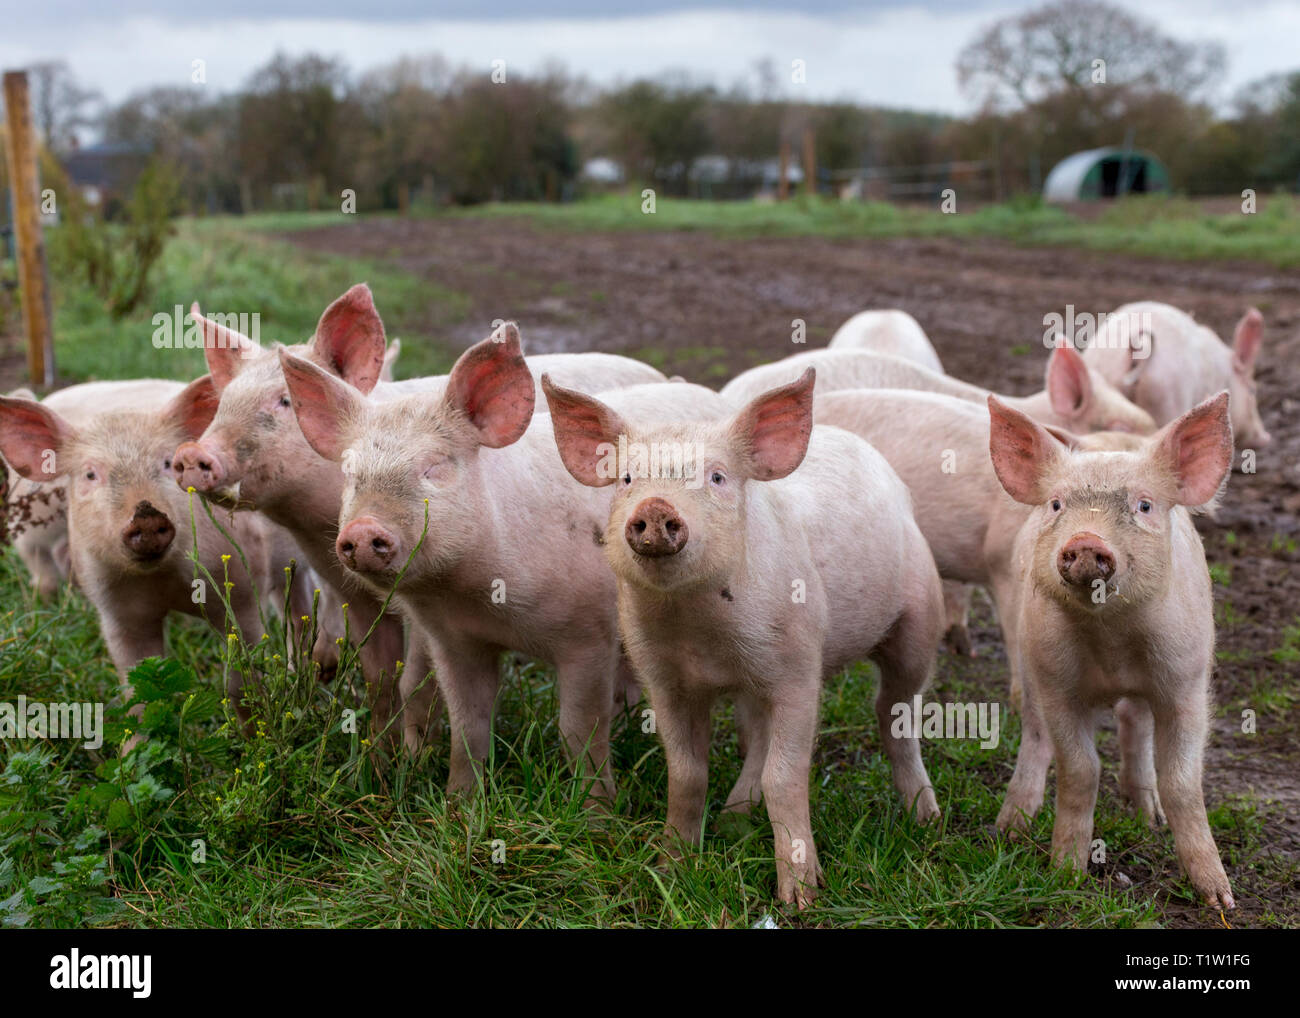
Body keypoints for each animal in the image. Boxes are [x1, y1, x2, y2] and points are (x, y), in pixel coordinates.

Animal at [0, 379, 305, 727]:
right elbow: (137, 698)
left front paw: (253, 732)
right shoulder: (117, 613)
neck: (161, 584)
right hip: (33, 537)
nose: (146, 515)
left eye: (168, 463)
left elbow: (242, 680)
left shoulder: (240, 590)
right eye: (90, 474)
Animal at [172, 283, 665, 746]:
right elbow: (378, 679)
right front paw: (380, 759)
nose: (192, 454)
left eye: (284, 401)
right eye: (223, 402)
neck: (311, 521)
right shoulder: (351, 591)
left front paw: (413, 756)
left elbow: (415, 684)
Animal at [276, 331, 718, 800]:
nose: (362, 530)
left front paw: (596, 808)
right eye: (350, 474)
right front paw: (458, 803)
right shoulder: (453, 640)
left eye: (434, 466)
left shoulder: (590, 633)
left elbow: (578, 729)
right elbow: (467, 726)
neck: (479, 601)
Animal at [543, 367, 945, 907]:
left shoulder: (799, 668)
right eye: (627, 478)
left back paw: (926, 819)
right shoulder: (662, 680)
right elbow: (686, 774)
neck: (701, 636)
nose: (655, 507)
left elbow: (785, 776)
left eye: (717, 477)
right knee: (759, 733)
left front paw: (800, 898)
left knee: (893, 710)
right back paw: (733, 821)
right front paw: (671, 869)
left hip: (920, 620)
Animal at [987, 391, 1236, 909]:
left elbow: (1182, 782)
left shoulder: (1187, 683)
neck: (1113, 641)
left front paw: (1219, 898)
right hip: (1028, 662)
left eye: (1144, 505)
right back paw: (1011, 828)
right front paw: (1064, 876)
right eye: (1057, 504)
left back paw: (1146, 816)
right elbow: (1079, 770)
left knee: (1133, 722)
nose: (1086, 541)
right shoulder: (1057, 683)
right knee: (1035, 731)